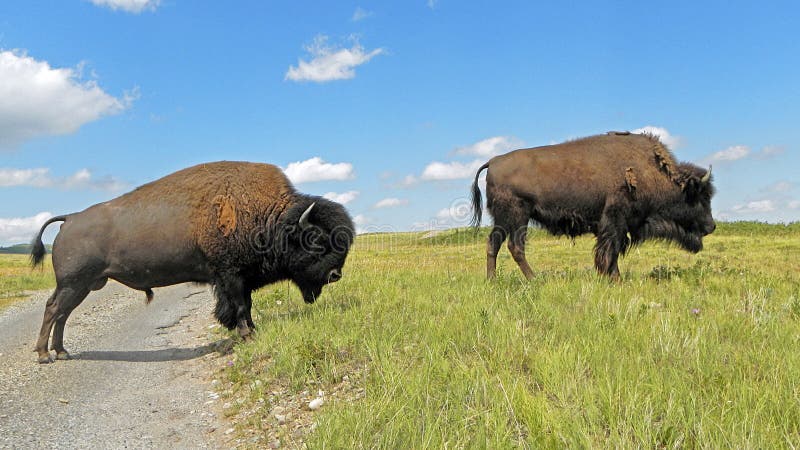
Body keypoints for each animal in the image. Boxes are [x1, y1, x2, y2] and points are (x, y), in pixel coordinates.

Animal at [31, 161, 354, 363]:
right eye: (317, 241)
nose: (335, 274)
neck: (271, 218)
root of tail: (71, 219)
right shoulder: (231, 276)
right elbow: (239, 306)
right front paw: (247, 334)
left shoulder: (239, 279)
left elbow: (245, 306)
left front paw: (249, 331)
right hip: (75, 283)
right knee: (54, 309)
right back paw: (45, 355)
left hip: (84, 285)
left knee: (62, 313)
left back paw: (61, 352)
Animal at [470, 131, 716, 279]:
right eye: (701, 196)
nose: (711, 226)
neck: (650, 170)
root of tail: (493, 161)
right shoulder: (615, 221)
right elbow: (611, 250)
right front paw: (614, 279)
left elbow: (612, 251)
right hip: (517, 216)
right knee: (515, 246)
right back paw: (534, 279)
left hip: (503, 219)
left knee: (494, 243)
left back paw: (493, 280)